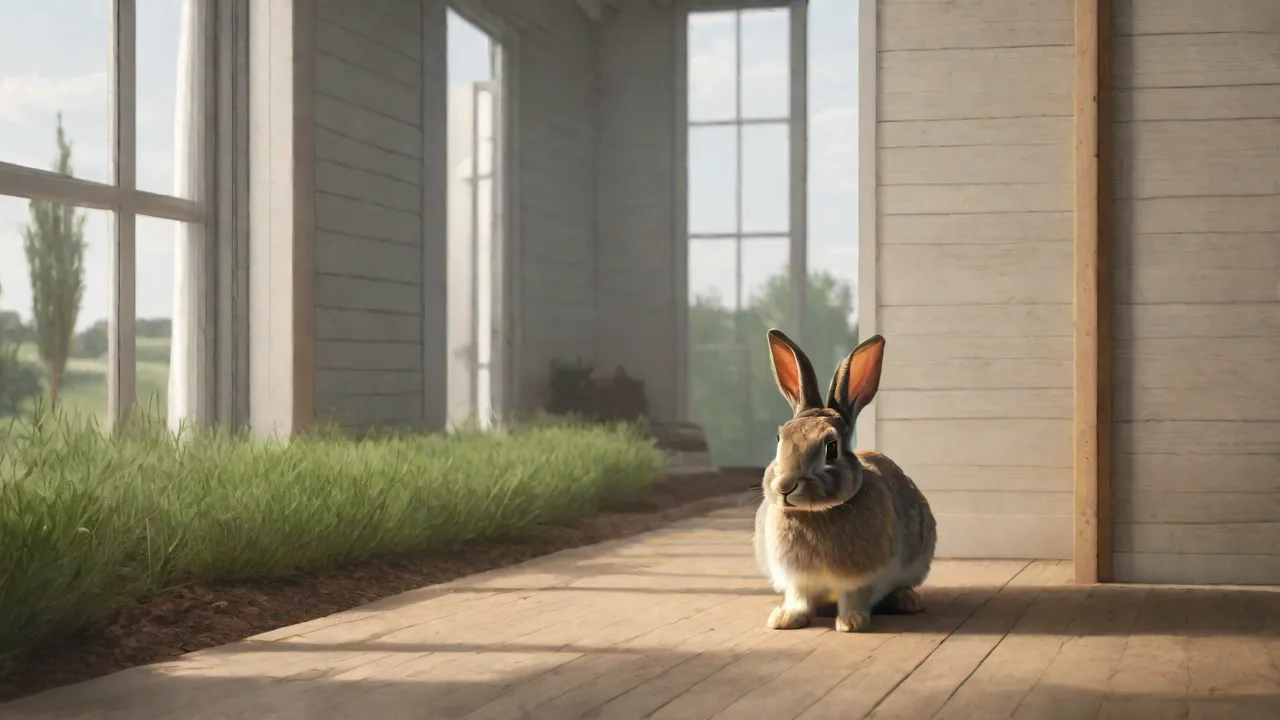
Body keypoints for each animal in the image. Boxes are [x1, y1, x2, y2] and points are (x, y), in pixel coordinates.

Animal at [753, 329, 937, 633]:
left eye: (831, 447)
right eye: (780, 439)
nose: (785, 487)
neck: (813, 514)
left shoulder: (862, 578)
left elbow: (855, 597)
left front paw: (852, 622)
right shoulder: (797, 580)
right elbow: (799, 598)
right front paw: (785, 619)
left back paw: (906, 601)